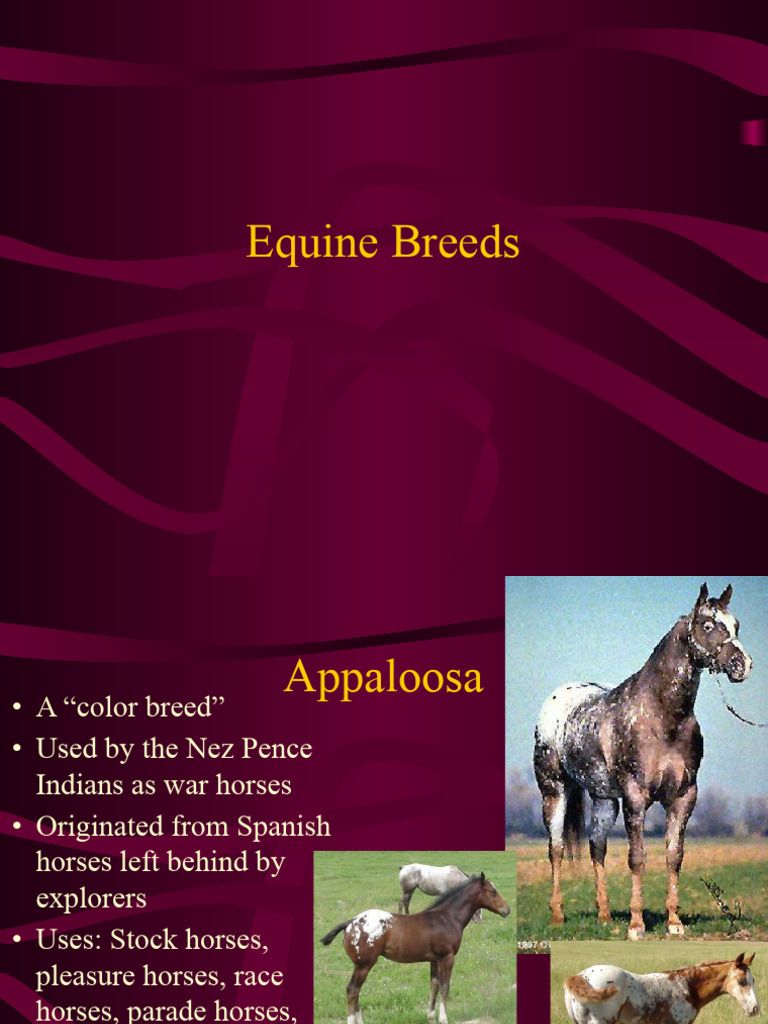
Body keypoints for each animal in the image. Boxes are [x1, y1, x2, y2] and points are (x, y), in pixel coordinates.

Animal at [320, 873, 510, 1024]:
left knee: (356, 991)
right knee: (352, 990)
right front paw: (444, 1019)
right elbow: (445, 987)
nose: (507, 910)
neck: (447, 918)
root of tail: (350, 922)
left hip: (361, 966)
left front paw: (431, 1018)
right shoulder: (447, 958)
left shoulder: (434, 959)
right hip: (364, 964)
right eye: (493, 891)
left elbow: (434, 985)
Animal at [534, 582, 753, 939]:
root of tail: (557, 699)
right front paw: (637, 926)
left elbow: (673, 855)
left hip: (604, 799)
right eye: (707, 625)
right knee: (556, 849)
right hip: (554, 791)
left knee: (597, 846)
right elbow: (637, 857)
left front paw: (674, 923)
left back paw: (605, 917)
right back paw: (557, 916)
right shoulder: (636, 797)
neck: (662, 716)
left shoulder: (684, 797)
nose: (742, 665)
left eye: (736, 625)